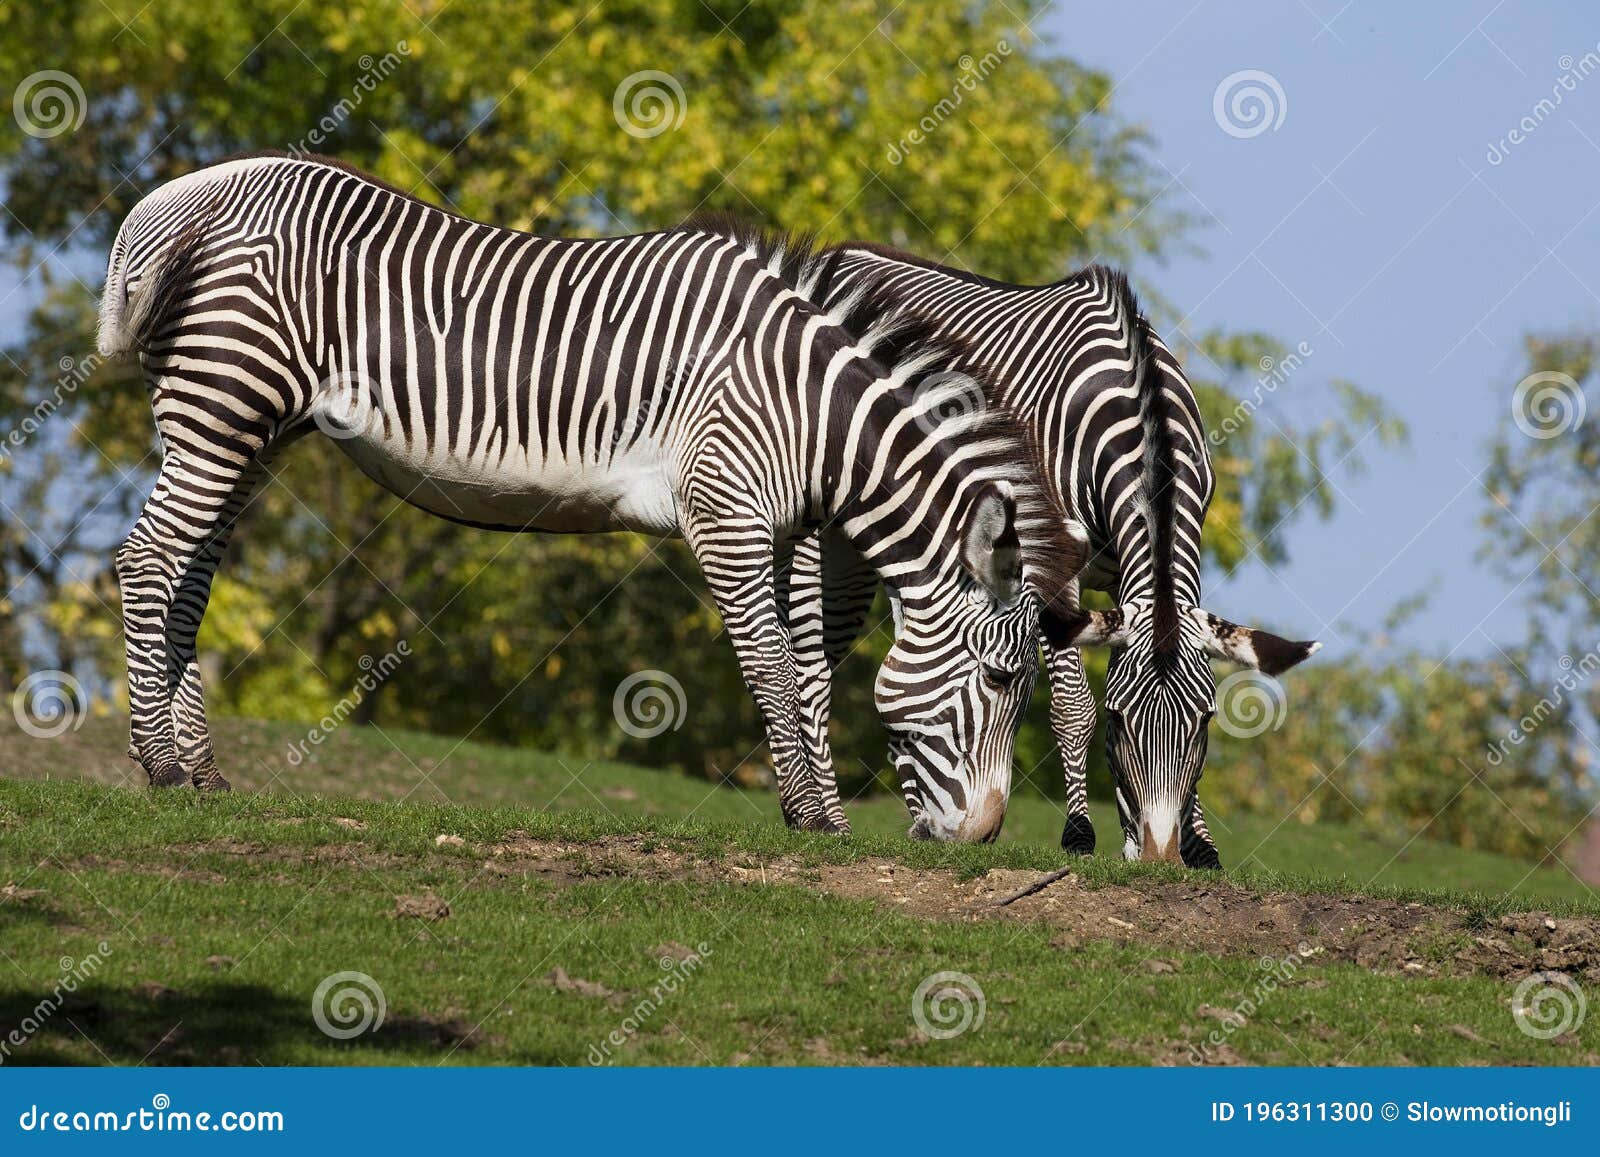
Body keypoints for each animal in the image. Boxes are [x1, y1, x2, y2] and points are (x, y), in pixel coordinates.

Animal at [94, 154, 1086, 842]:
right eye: (1002, 679)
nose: (981, 838)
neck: (809, 407)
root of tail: (175, 197)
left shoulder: (784, 529)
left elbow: (807, 667)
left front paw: (829, 821)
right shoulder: (726, 511)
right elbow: (769, 665)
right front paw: (807, 816)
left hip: (246, 428)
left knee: (189, 577)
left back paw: (203, 771)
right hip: (223, 402)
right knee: (147, 560)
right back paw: (161, 766)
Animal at [783, 245, 1320, 864]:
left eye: (1204, 723)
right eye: (1117, 721)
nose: (1158, 860)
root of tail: (841, 252)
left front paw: (1200, 847)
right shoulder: (1058, 574)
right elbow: (1070, 706)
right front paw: (1080, 834)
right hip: (825, 536)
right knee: (810, 664)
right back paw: (827, 821)